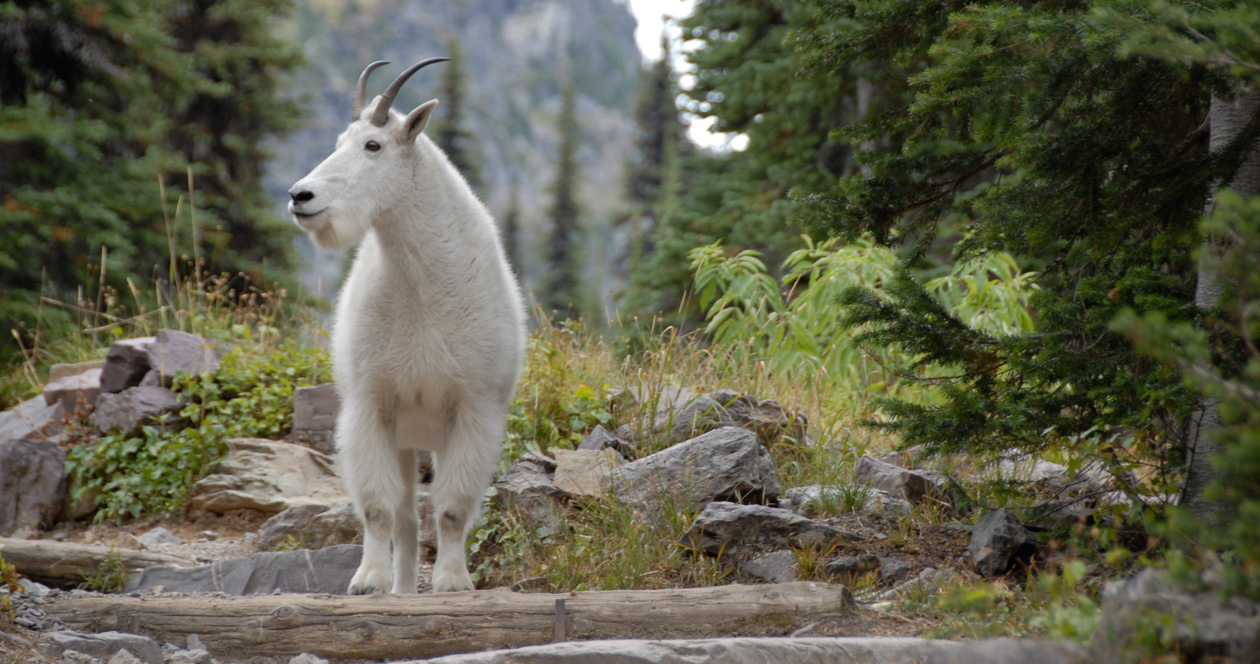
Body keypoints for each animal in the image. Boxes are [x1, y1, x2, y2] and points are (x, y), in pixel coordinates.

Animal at [287, 59, 525, 593]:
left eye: (373, 146)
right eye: (339, 141)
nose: (299, 195)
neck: (421, 283)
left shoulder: (473, 408)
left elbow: (453, 510)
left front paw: (453, 583)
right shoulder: (371, 404)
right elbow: (379, 509)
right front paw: (366, 582)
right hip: (403, 438)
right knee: (405, 519)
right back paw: (399, 588)